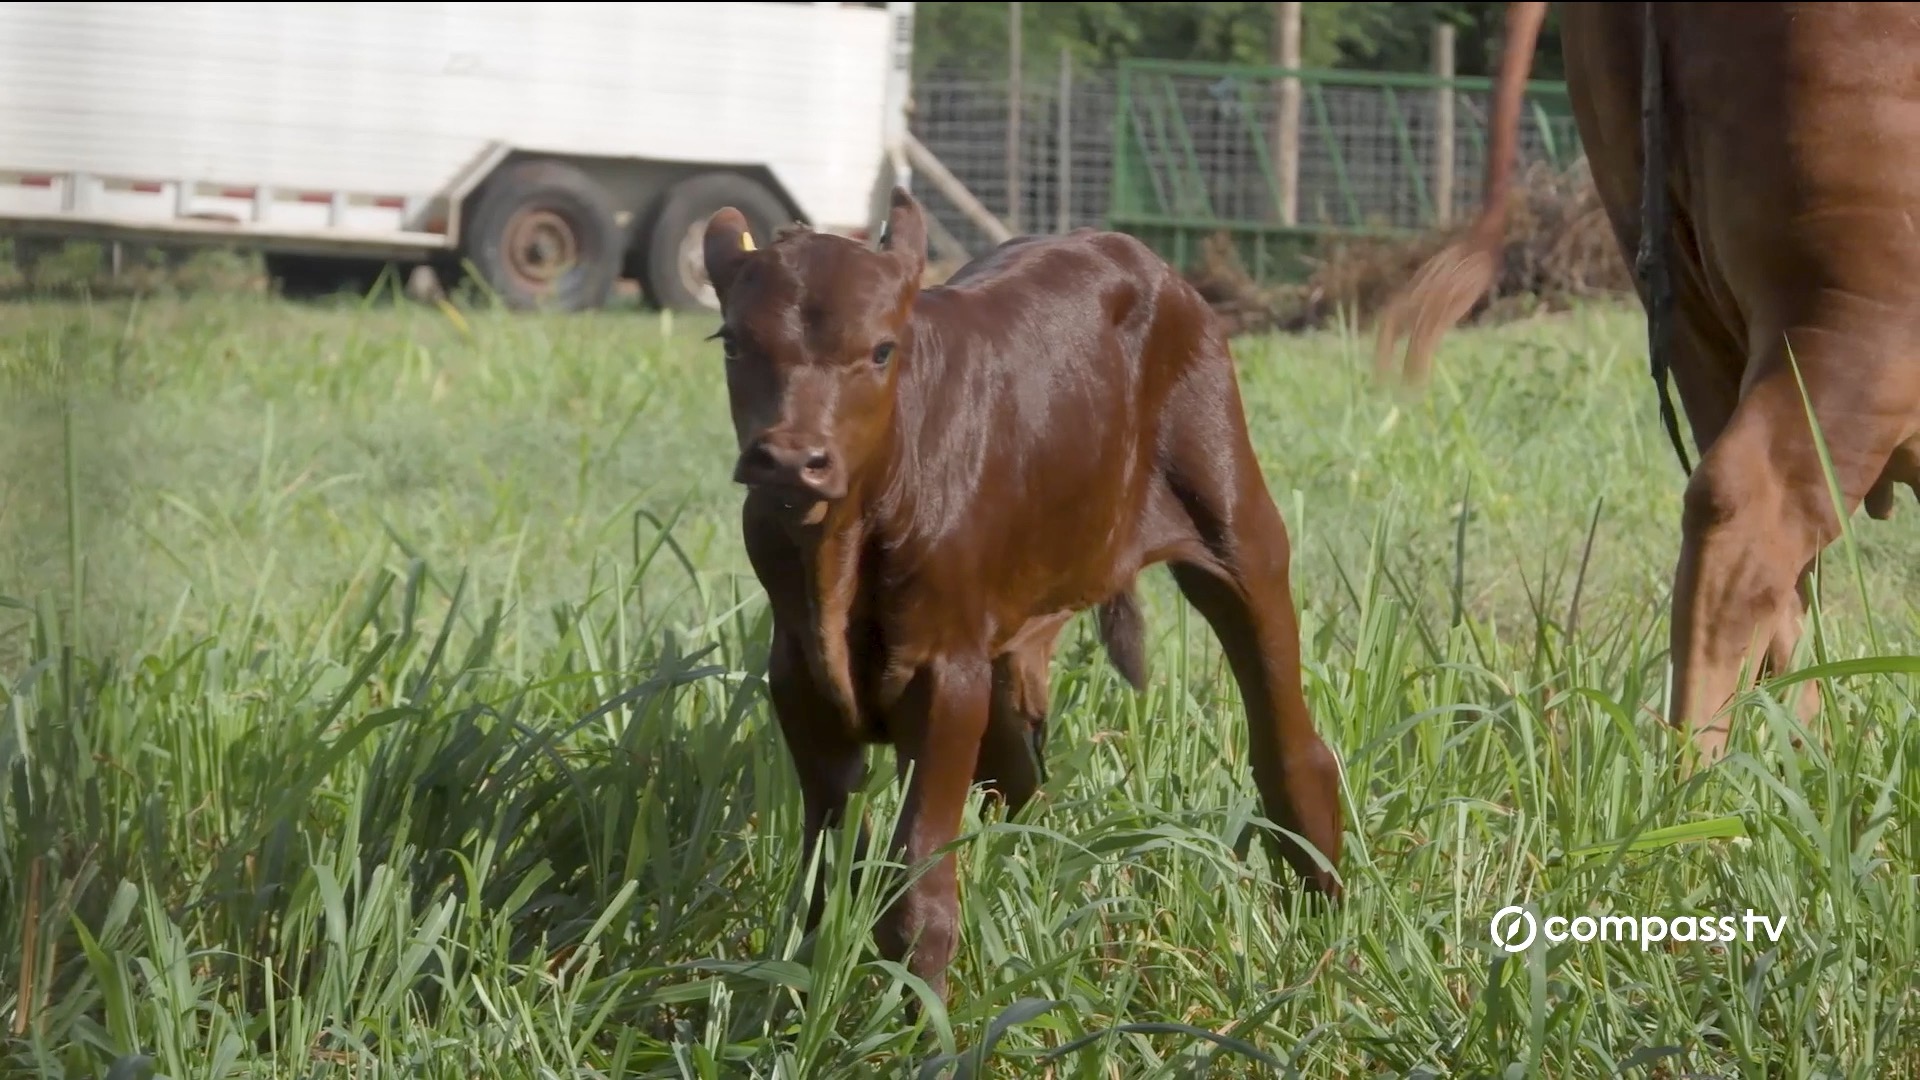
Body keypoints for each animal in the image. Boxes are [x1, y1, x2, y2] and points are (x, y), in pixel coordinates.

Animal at [700, 187, 1346, 1005]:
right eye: (731, 344)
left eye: (881, 350)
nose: (790, 458)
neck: (835, 553)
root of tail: (1140, 256)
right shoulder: (797, 675)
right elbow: (824, 884)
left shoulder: (945, 673)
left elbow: (917, 896)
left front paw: (919, 1022)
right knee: (1020, 773)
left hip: (1238, 523)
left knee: (1291, 742)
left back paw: (1324, 930)